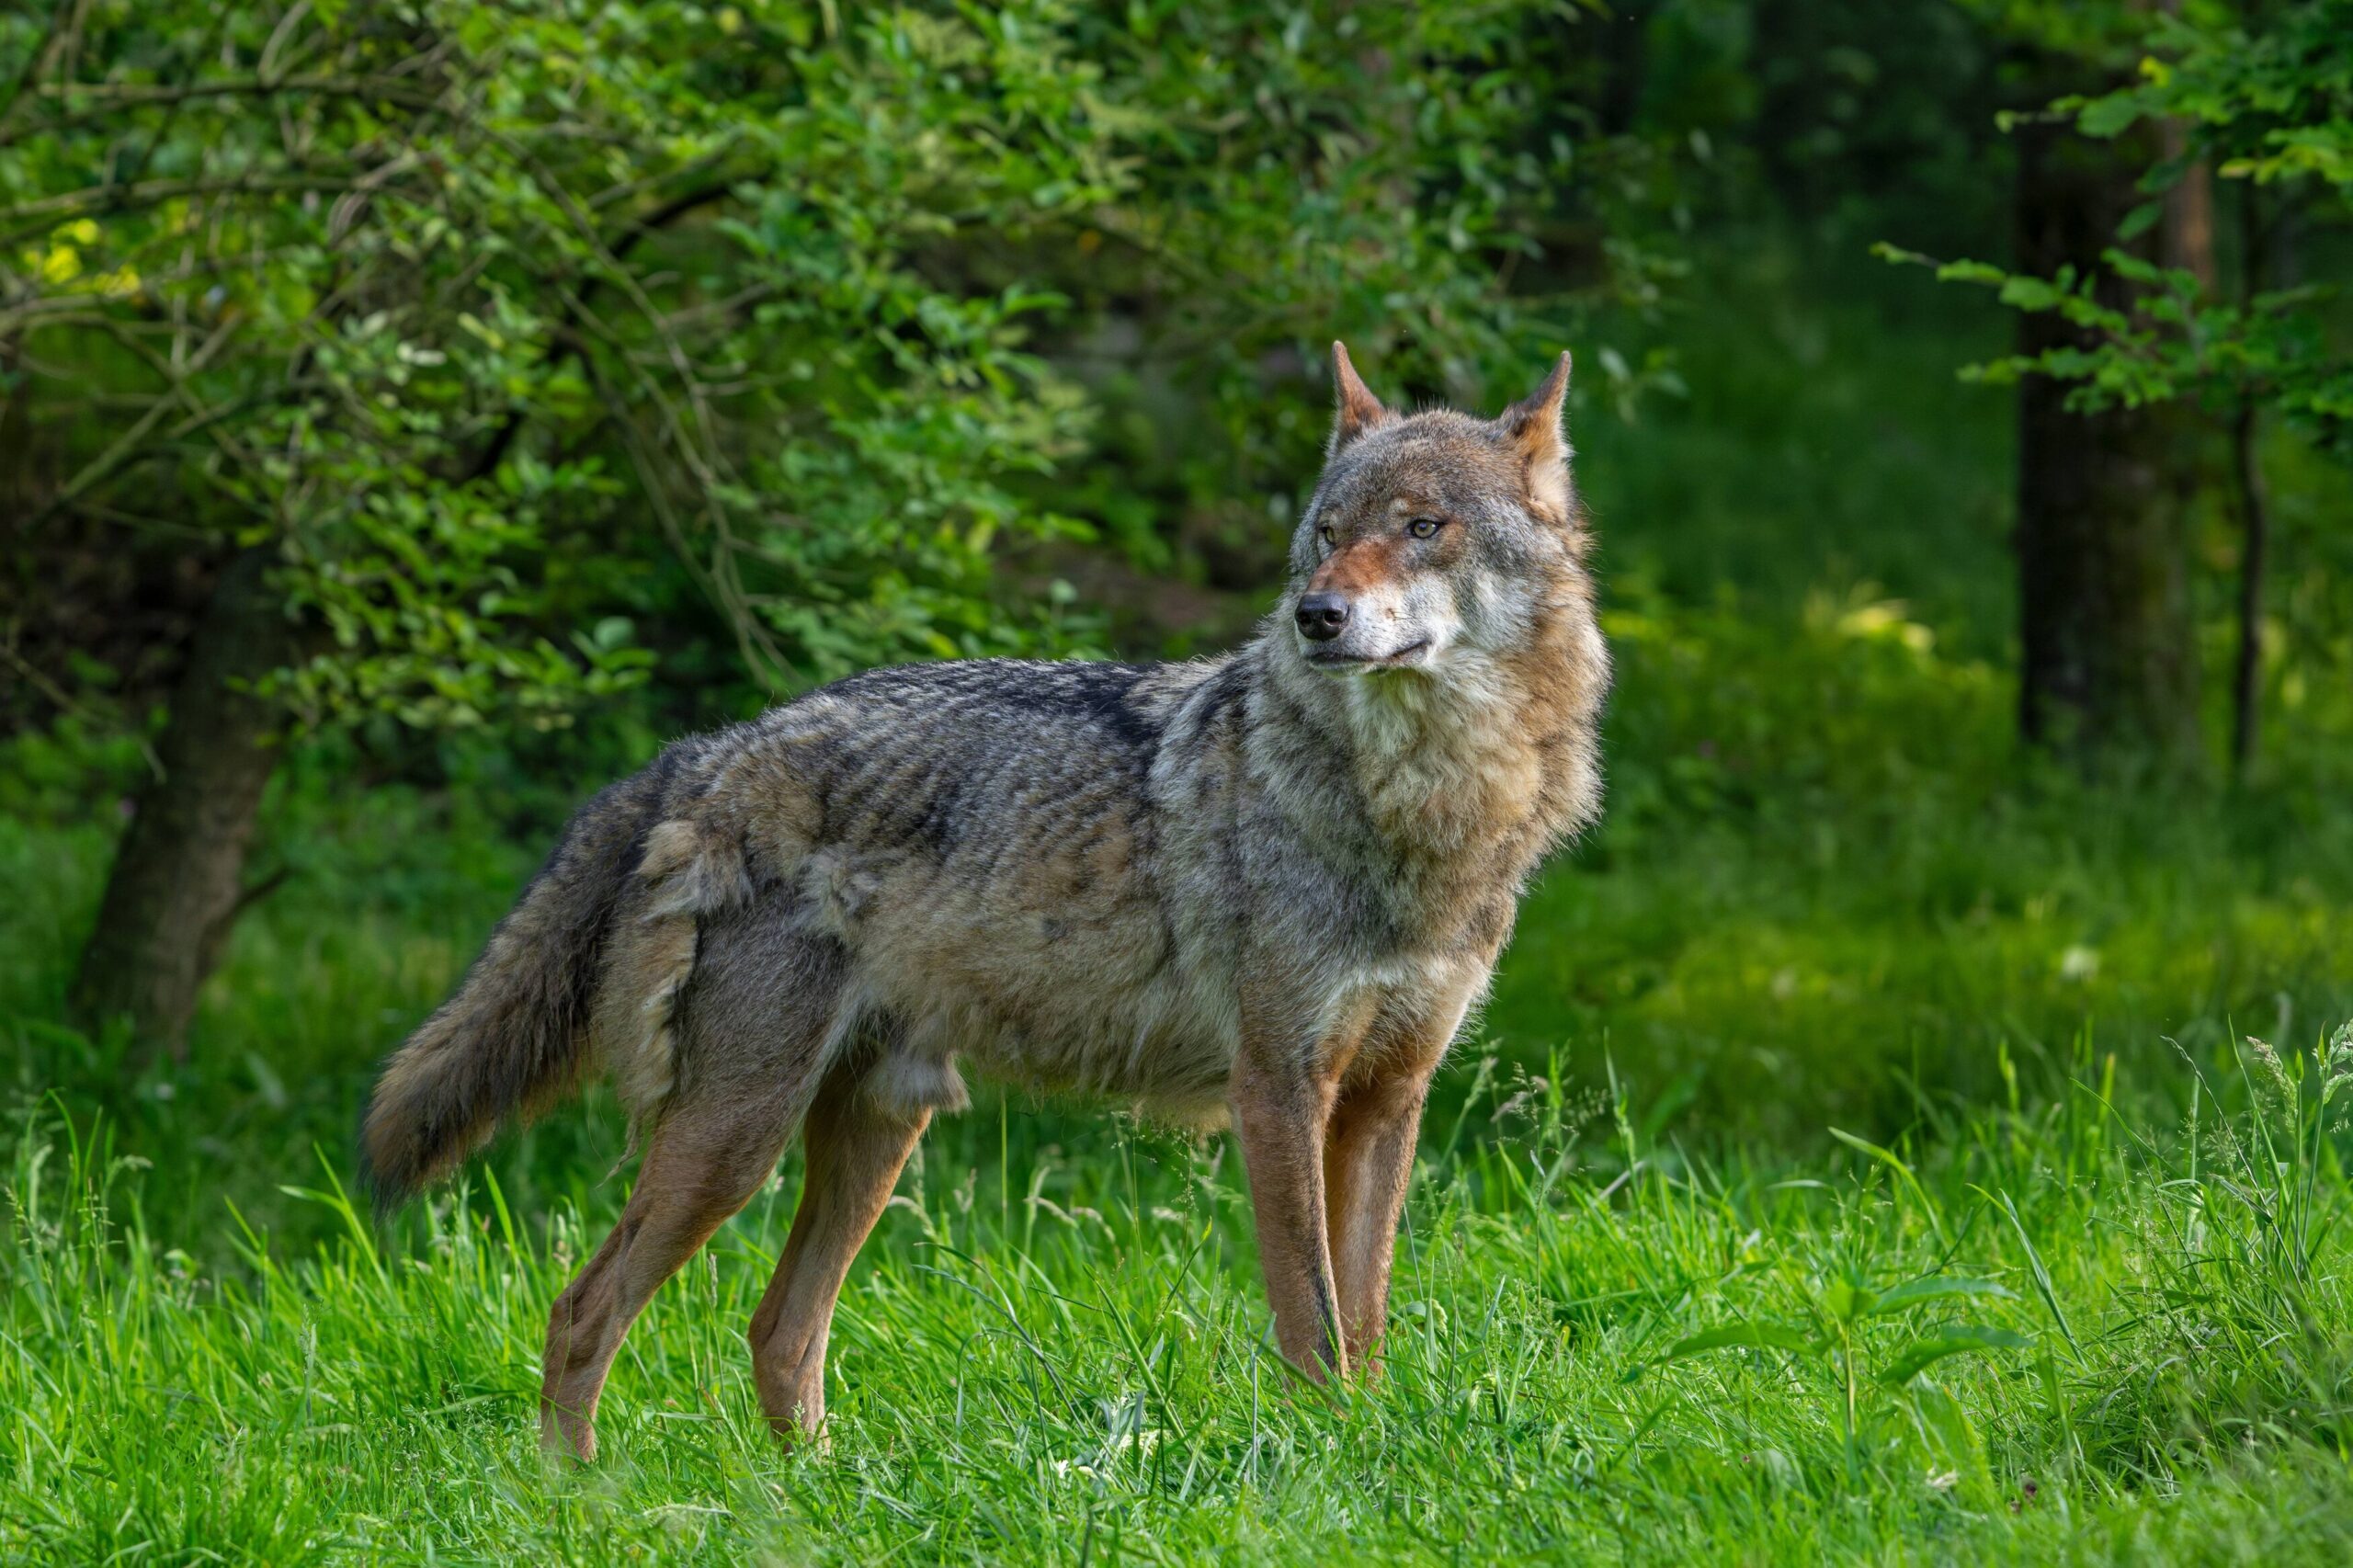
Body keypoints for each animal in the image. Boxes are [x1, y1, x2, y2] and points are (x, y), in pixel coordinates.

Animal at [360, 344, 1609, 1460]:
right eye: (1326, 533)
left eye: (1422, 526)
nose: (1315, 614)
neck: (1425, 810)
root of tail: (711, 747)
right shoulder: (1278, 1089)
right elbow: (1312, 1317)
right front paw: (1325, 1451)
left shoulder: (1386, 1099)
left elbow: (1368, 1315)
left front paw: (1368, 1436)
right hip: (736, 1137)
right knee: (585, 1308)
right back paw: (578, 1494)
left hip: (871, 1133)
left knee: (777, 1325)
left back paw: (820, 1490)